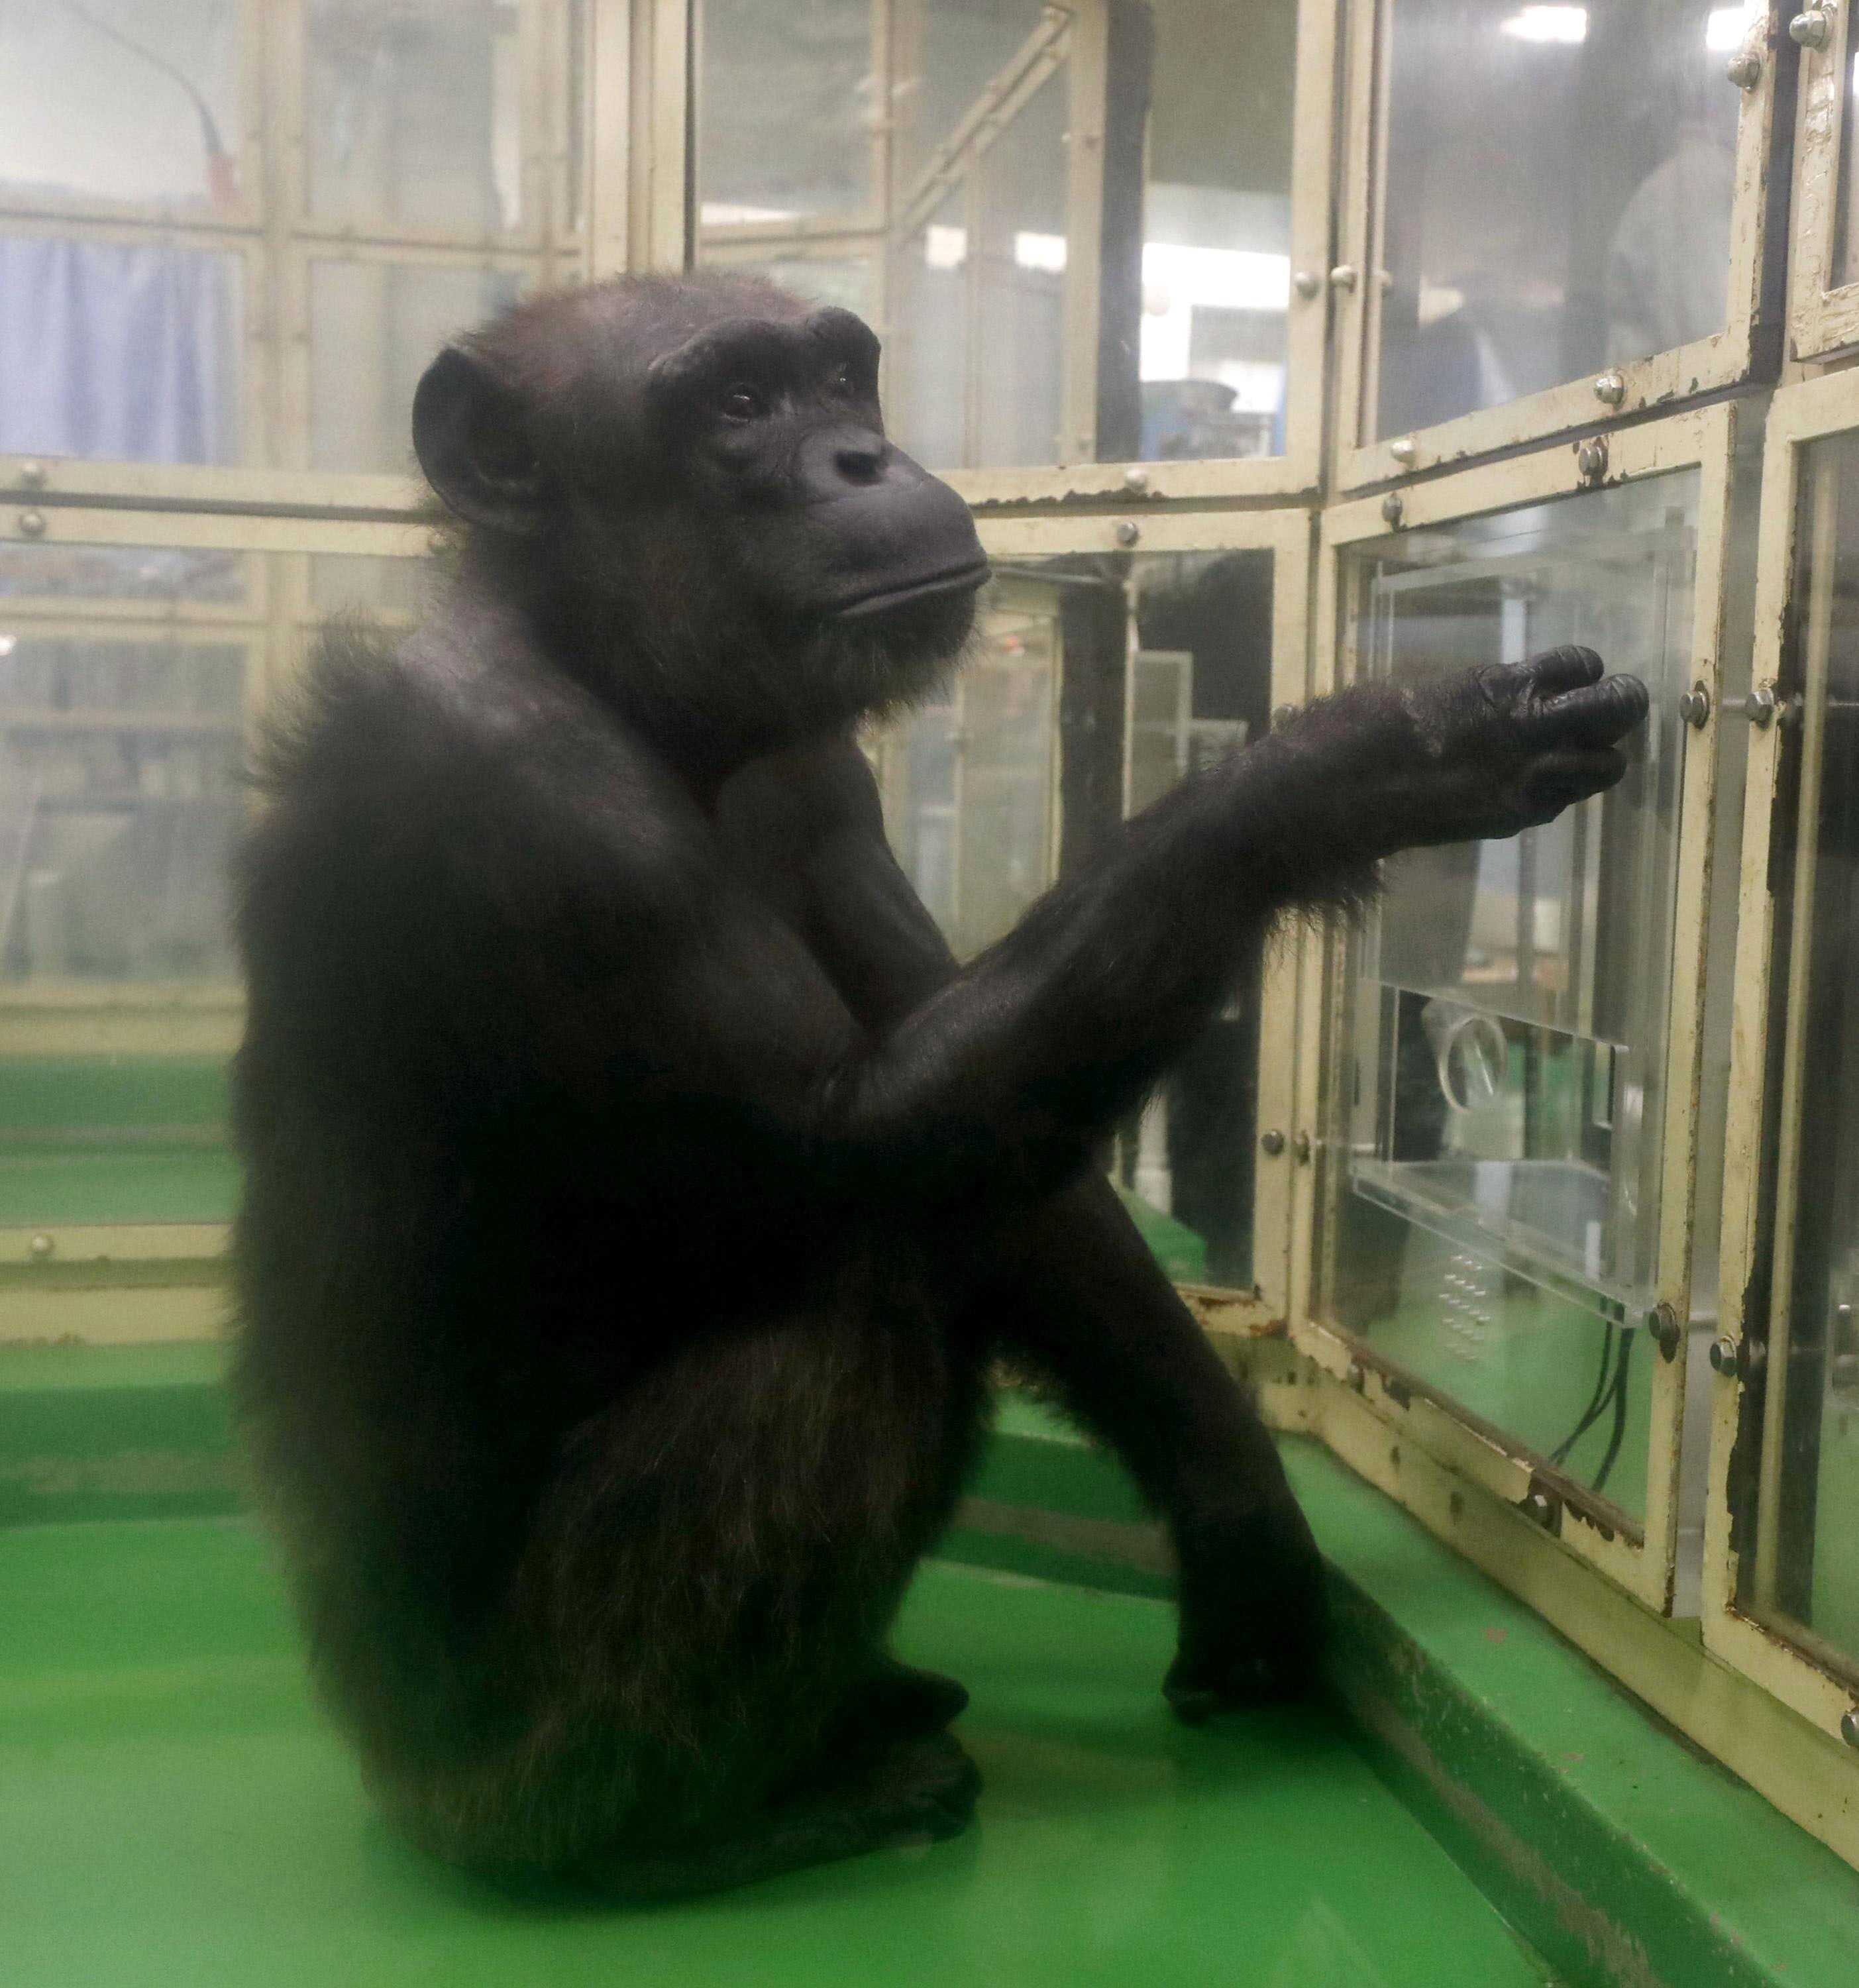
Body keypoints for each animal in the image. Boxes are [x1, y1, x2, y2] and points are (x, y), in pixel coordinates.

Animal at [231, 269, 1648, 1897]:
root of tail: (397, 1777)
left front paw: (1239, 1522)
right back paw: (689, 1829)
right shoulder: (518, 794)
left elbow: (995, 1128)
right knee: (856, 1321)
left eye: (841, 379)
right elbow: (855, 1140)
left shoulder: (824, 780)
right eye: (733, 405)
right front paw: (1367, 755)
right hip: (503, 1756)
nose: (859, 458)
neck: (605, 665)